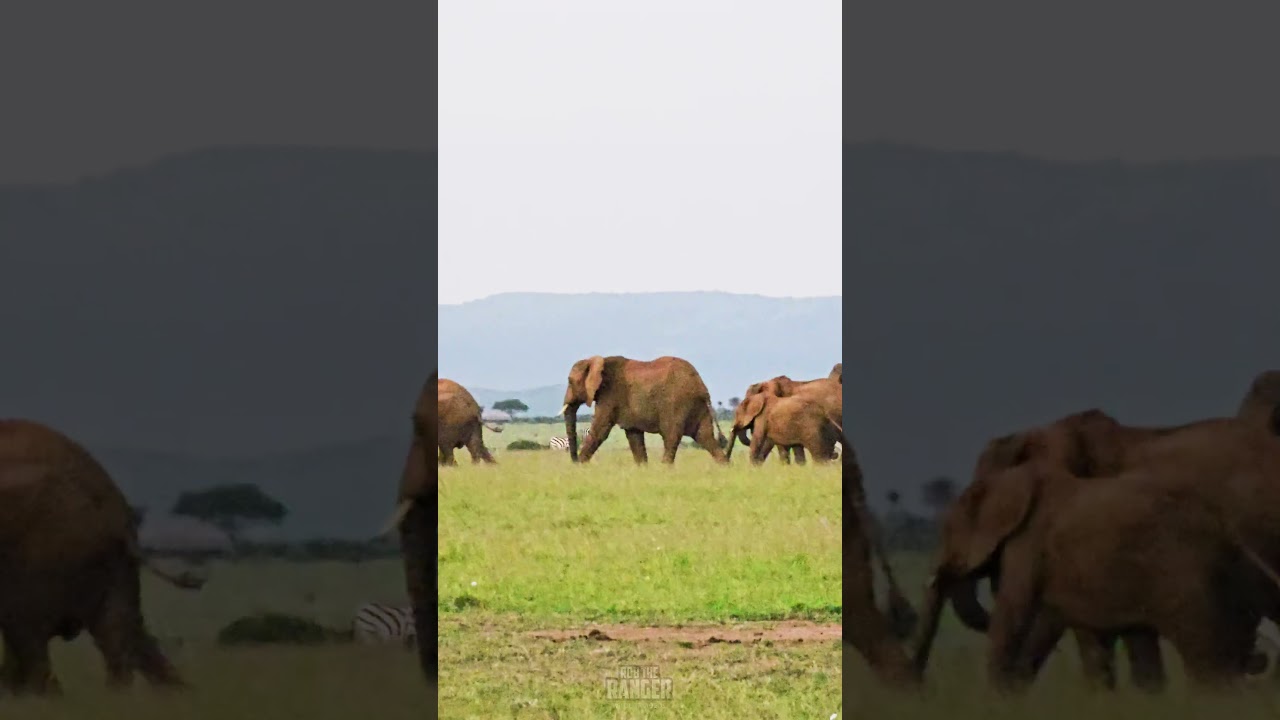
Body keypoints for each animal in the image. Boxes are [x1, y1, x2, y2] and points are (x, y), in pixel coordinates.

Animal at [559, 355, 728, 465]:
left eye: (570, 381)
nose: (574, 461)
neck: (597, 361)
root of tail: (701, 386)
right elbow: (634, 436)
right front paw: (642, 470)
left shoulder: (609, 396)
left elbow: (600, 431)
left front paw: (579, 468)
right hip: (697, 406)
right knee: (705, 436)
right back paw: (725, 466)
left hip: (677, 403)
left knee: (671, 435)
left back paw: (664, 469)